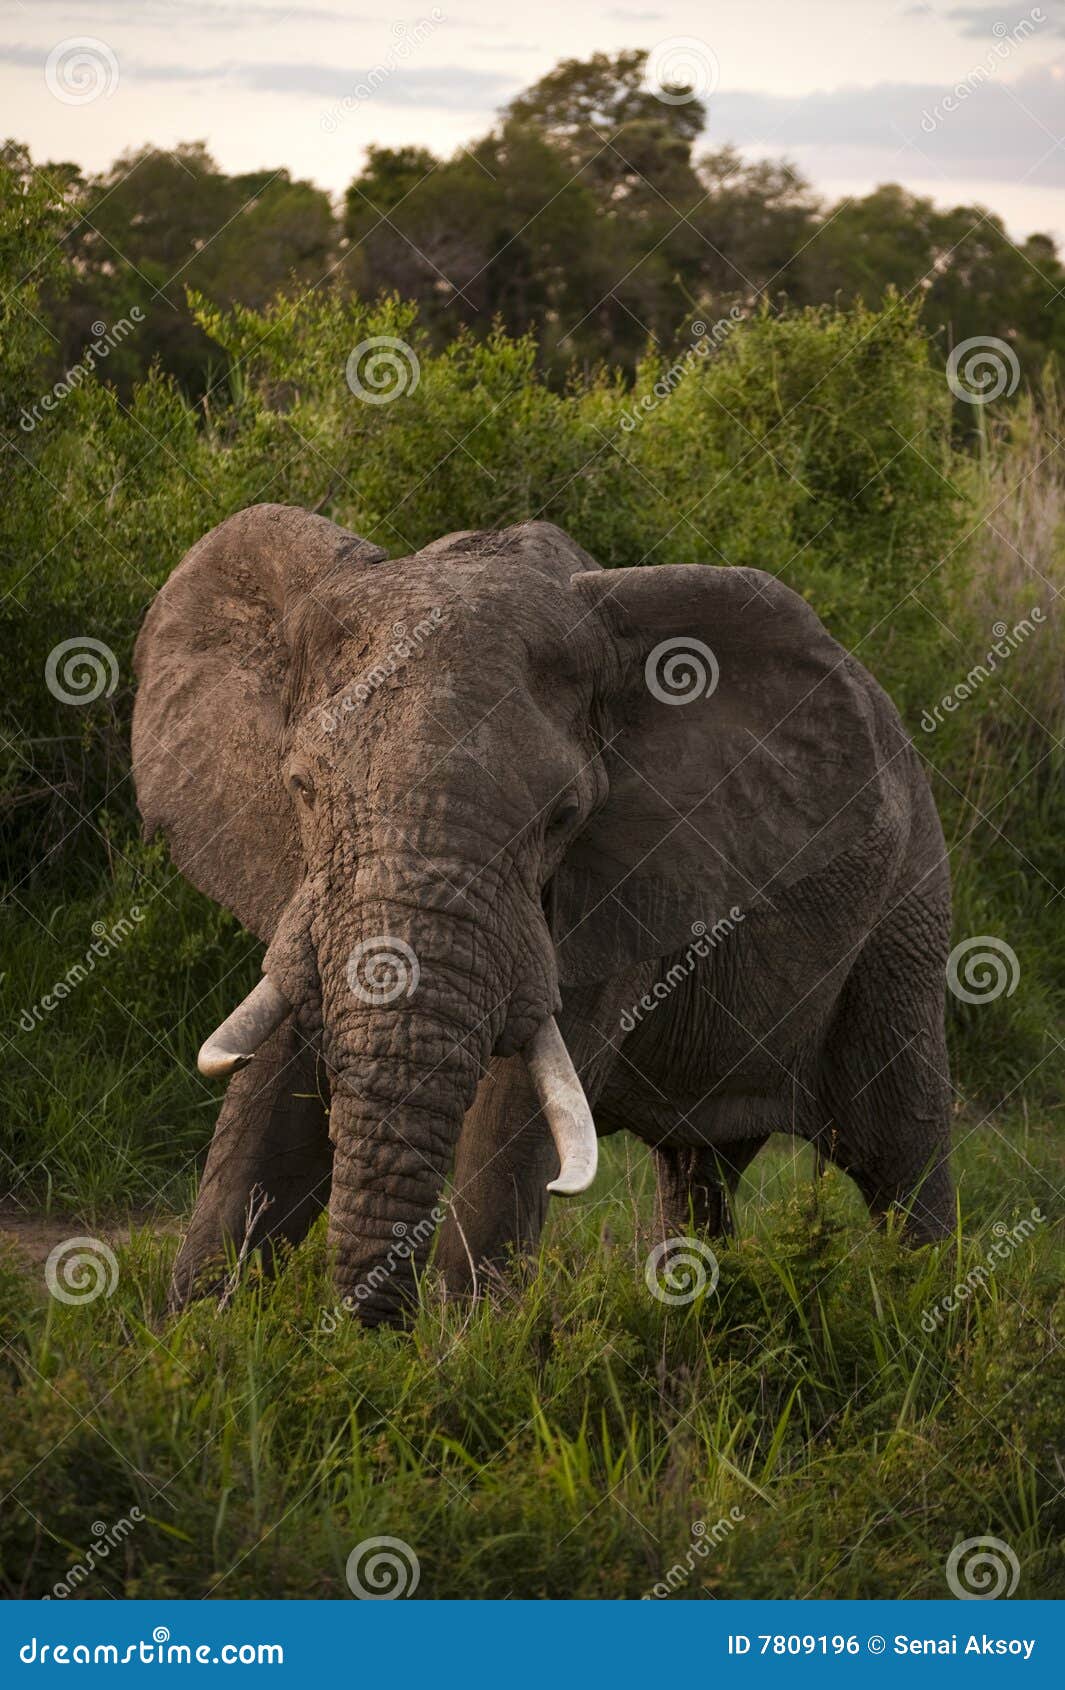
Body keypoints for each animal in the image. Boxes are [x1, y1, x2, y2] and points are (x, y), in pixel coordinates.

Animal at [131, 503, 954, 1324]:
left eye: (562, 818)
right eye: (302, 788)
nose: (374, 1330)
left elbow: (516, 1112)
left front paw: (463, 1346)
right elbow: (267, 1090)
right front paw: (198, 1331)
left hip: (907, 912)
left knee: (900, 1149)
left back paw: (927, 1306)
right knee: (700, 1169)